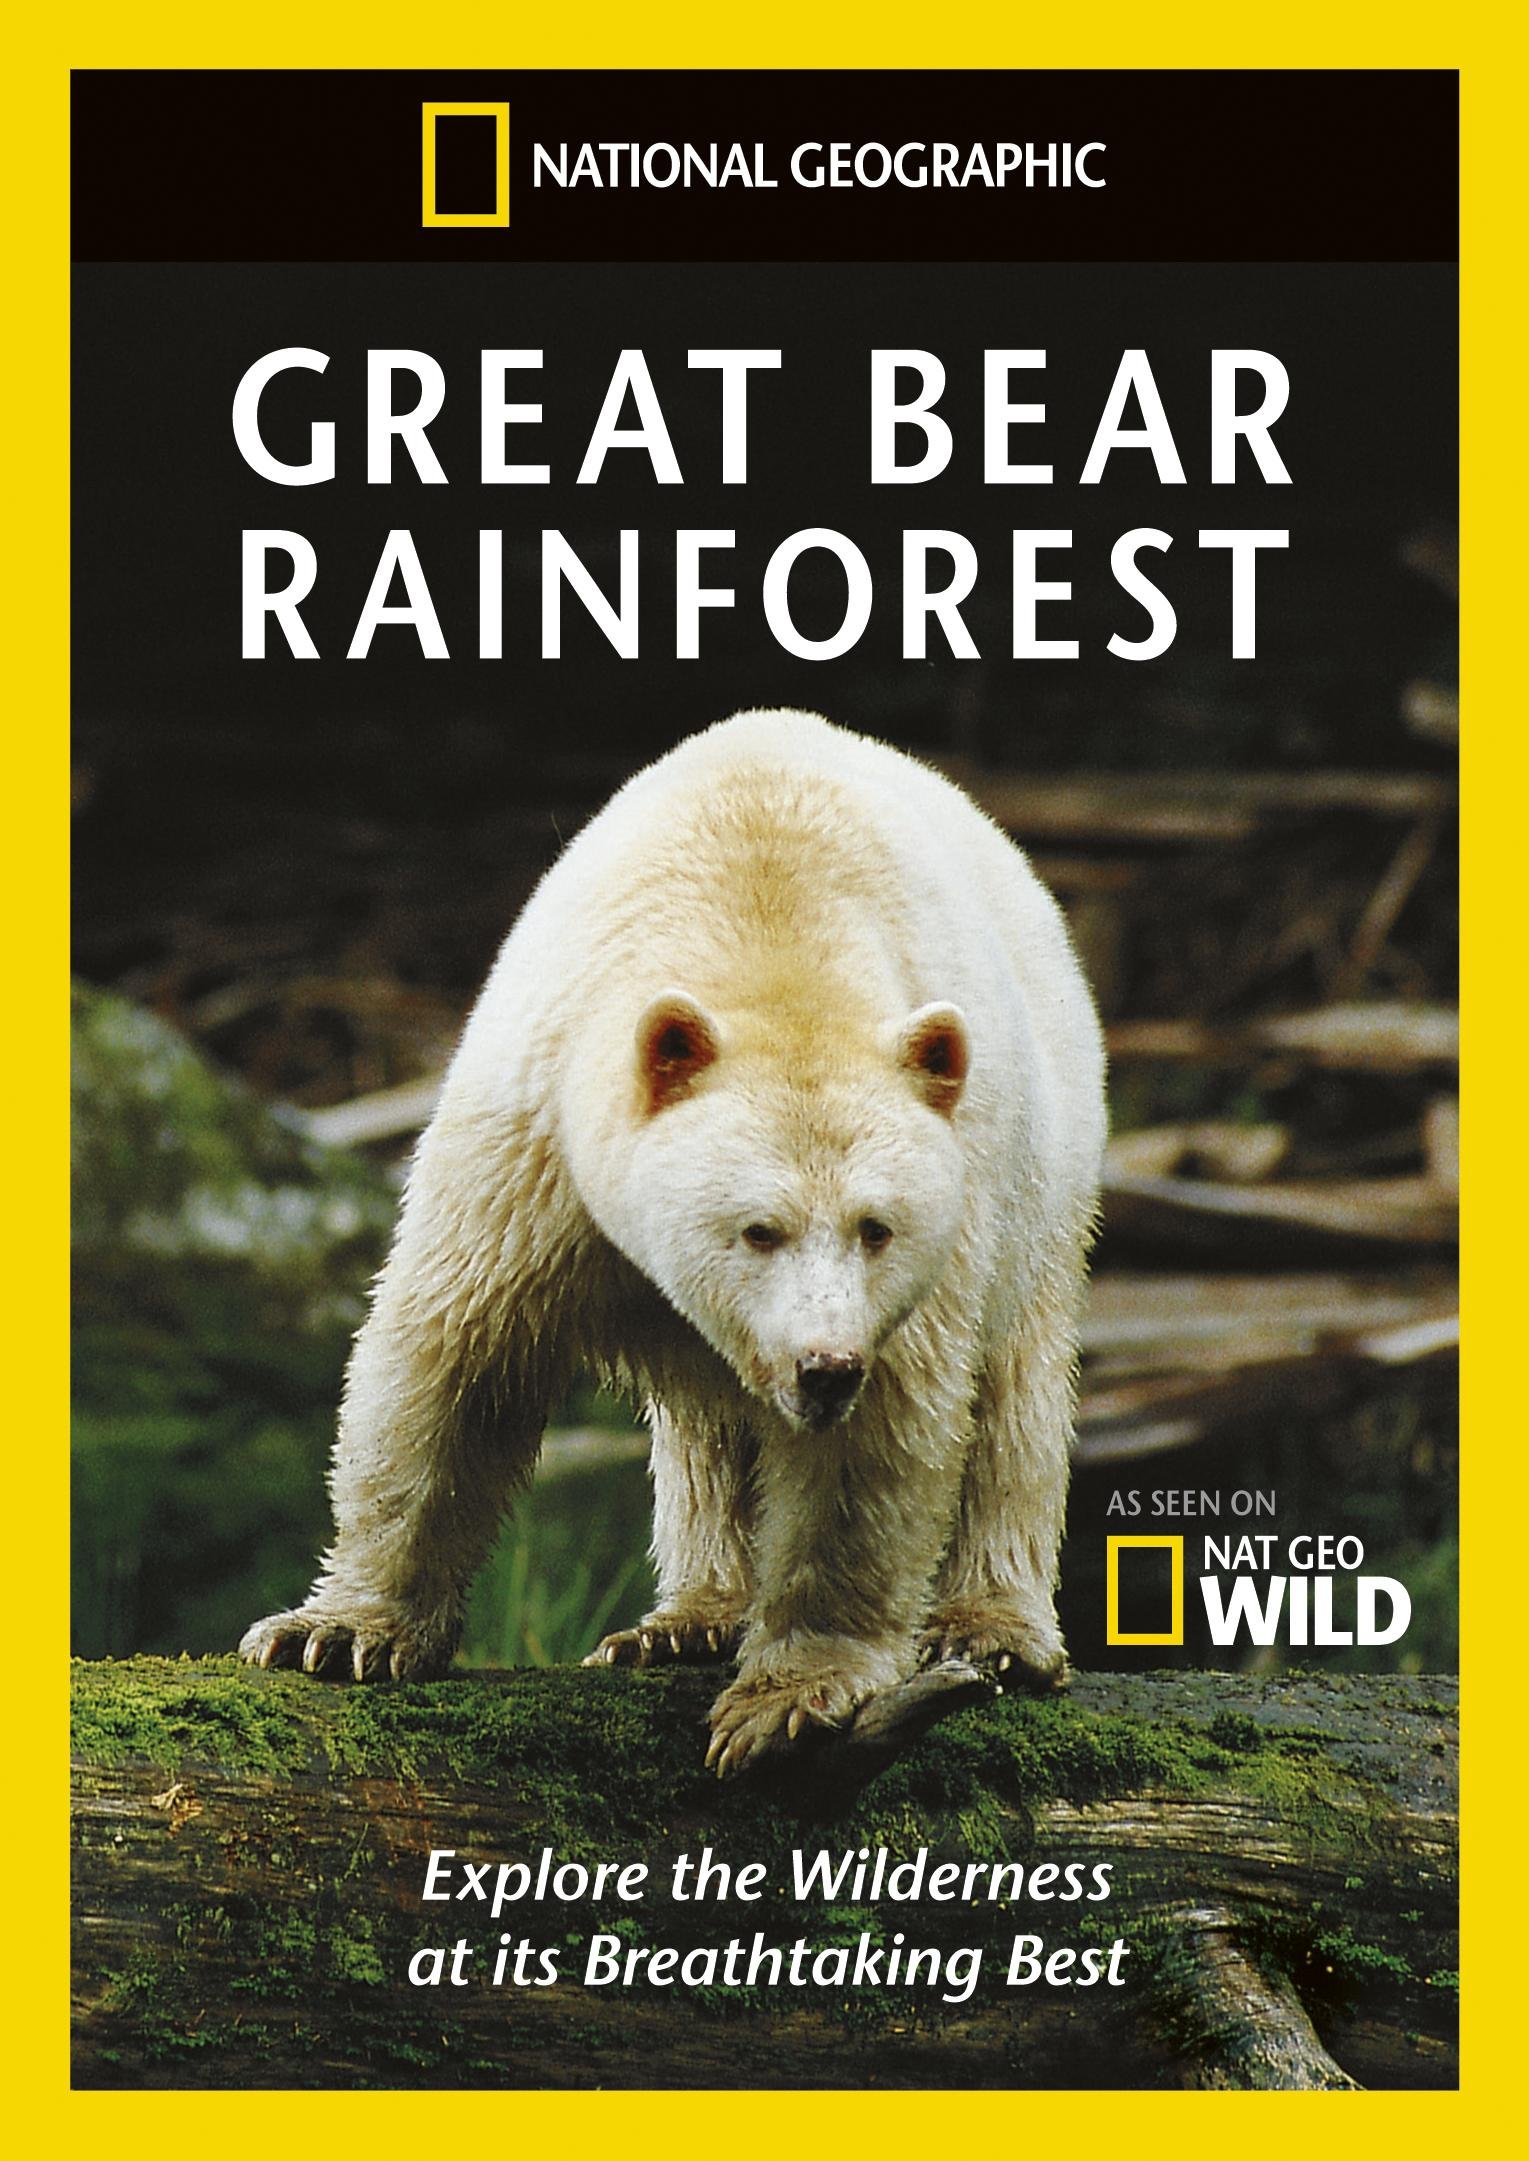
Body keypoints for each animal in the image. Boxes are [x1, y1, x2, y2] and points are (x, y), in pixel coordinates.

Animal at [240, 709, 1108, 1776]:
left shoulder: (928, 1261)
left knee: (1016, 1393)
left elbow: (879, 1446)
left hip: (1042, 1172)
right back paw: (686, 1618)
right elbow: (451, 1362)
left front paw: (787, 1698)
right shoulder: (534, 1152)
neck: (767, 934)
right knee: (705, 1430)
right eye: (758, 1228)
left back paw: (992, 1631)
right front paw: (335, 1631)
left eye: (876, 1227)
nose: (824, 1366)